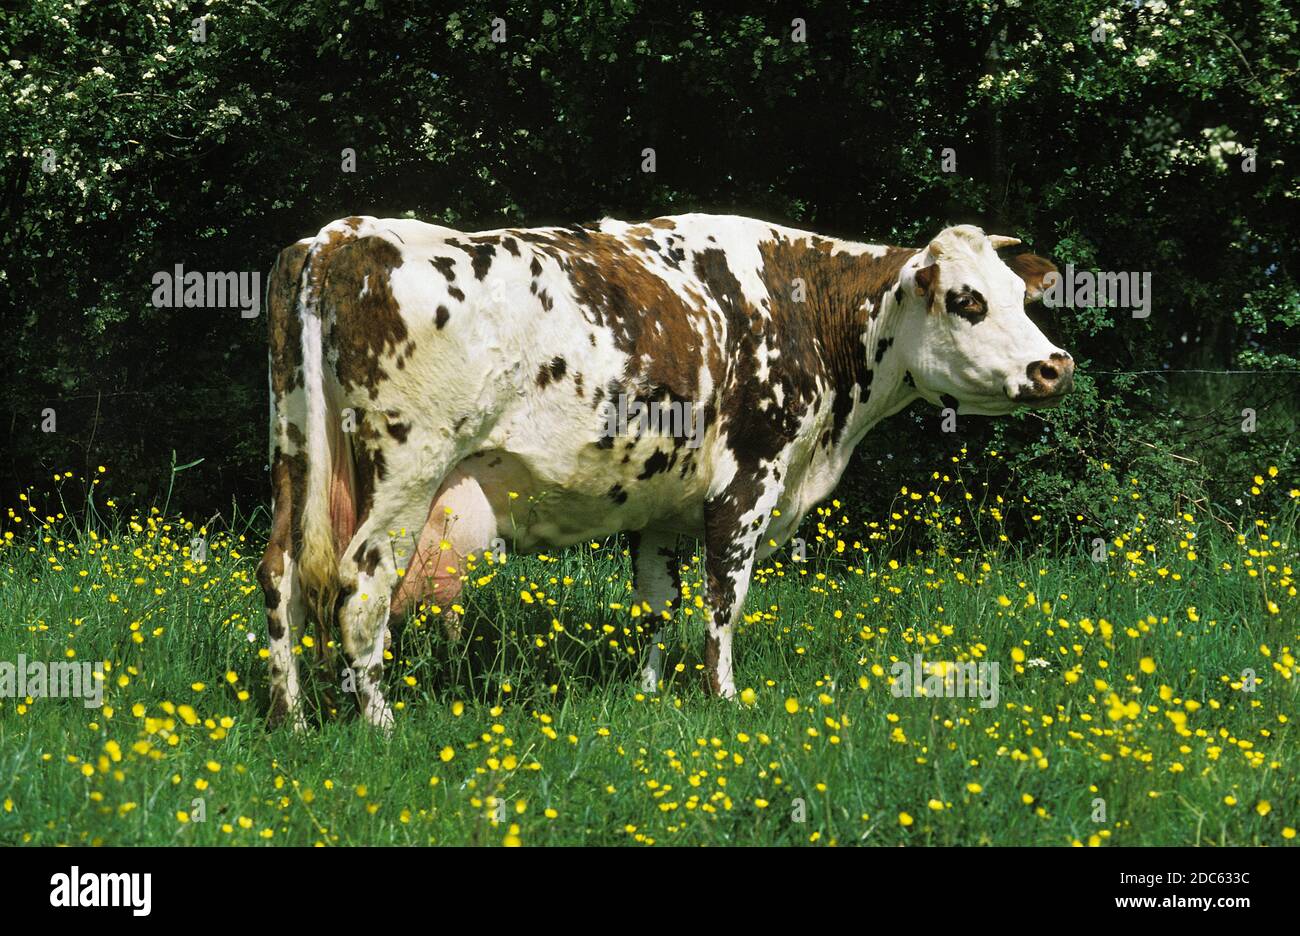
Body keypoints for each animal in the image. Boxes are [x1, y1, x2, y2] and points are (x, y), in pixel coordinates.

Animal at [257, 214, 1073, 728]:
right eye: (967, 302)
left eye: (1019, 294)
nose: (1054, 365)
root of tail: (341, 236)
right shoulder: (748, 480)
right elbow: (723, 602)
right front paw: (724, 697)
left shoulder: (659, 505)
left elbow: (656, 603)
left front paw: (647, 691)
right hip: (406, 469)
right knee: (362, 588)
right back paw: (381, 725)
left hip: (295, 451)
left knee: (282, 574)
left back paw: (291, 720)